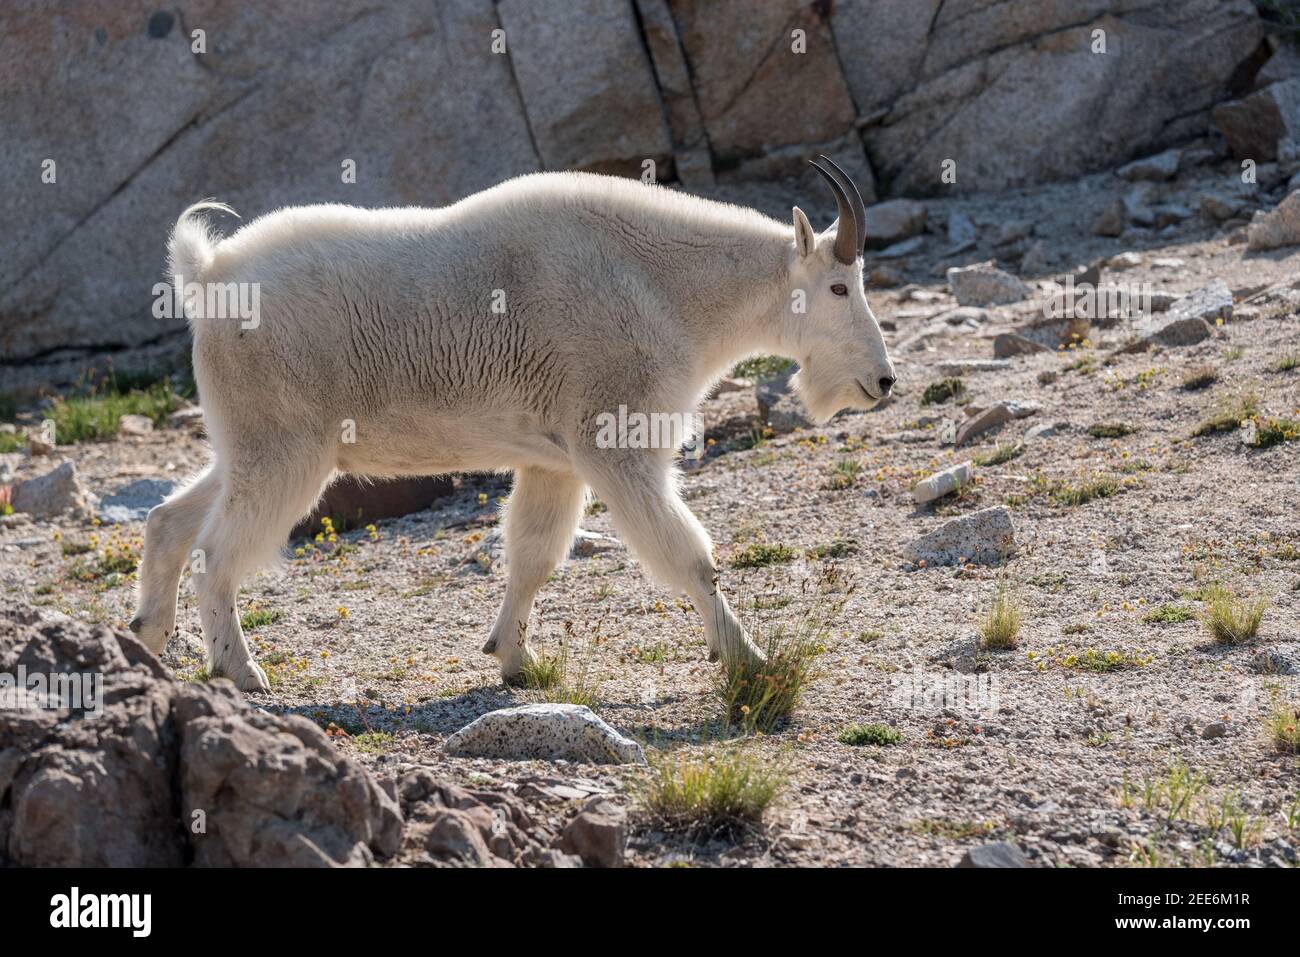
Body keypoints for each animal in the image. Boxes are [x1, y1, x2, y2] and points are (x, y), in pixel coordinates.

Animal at [131, 158, 896, 691]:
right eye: (838, 286)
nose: (883, 380)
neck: (667, 286)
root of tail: (206, 276)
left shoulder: (553, 459)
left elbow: (532, 555)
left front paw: (514, 659)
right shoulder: (617, 443)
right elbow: (689, 556)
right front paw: (749, 658)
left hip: (250, 443)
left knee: (170, 520)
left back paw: (147, 638)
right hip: (287, 447)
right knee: (218, 551)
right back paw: (239, 669)